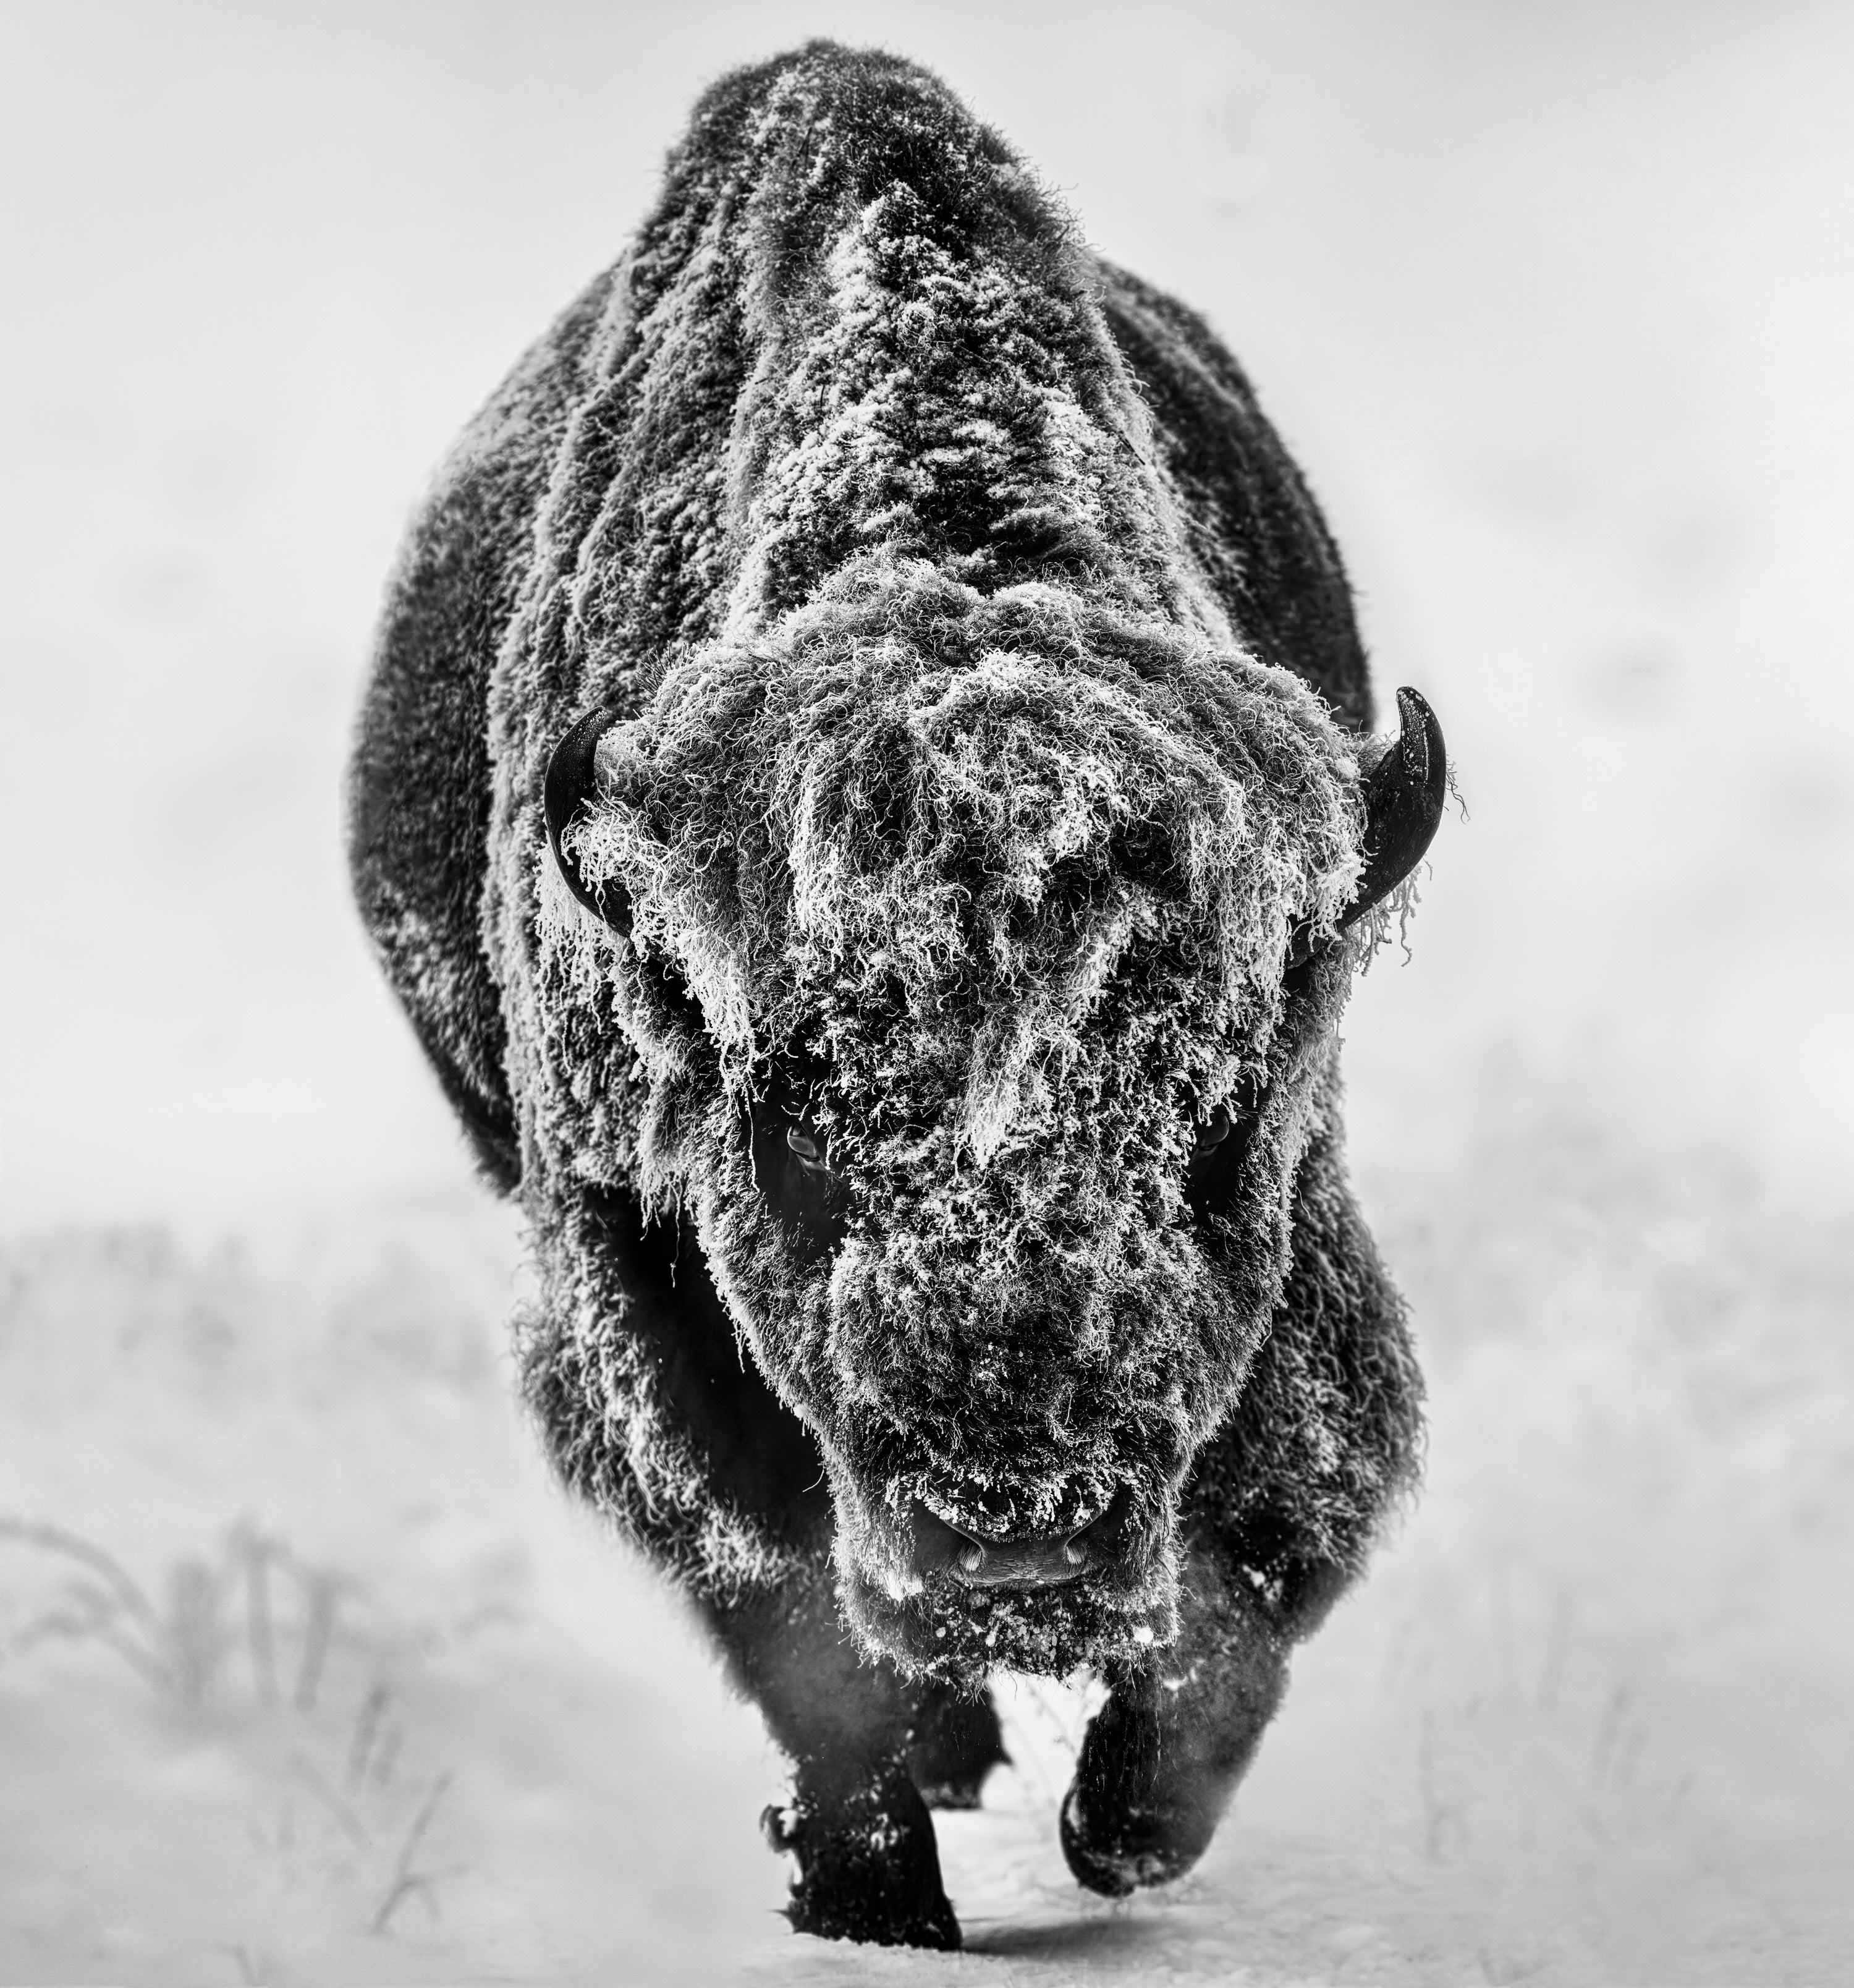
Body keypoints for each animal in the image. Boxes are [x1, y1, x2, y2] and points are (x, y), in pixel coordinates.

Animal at [348, 42, 1443, 1950]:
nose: (1018, 1533)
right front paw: (873, 1896)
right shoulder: (642, 1310)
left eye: (1221, 1117)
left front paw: (1112, 1829)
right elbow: (800, 1625)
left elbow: (1251, 1576)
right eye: (788, 1119)